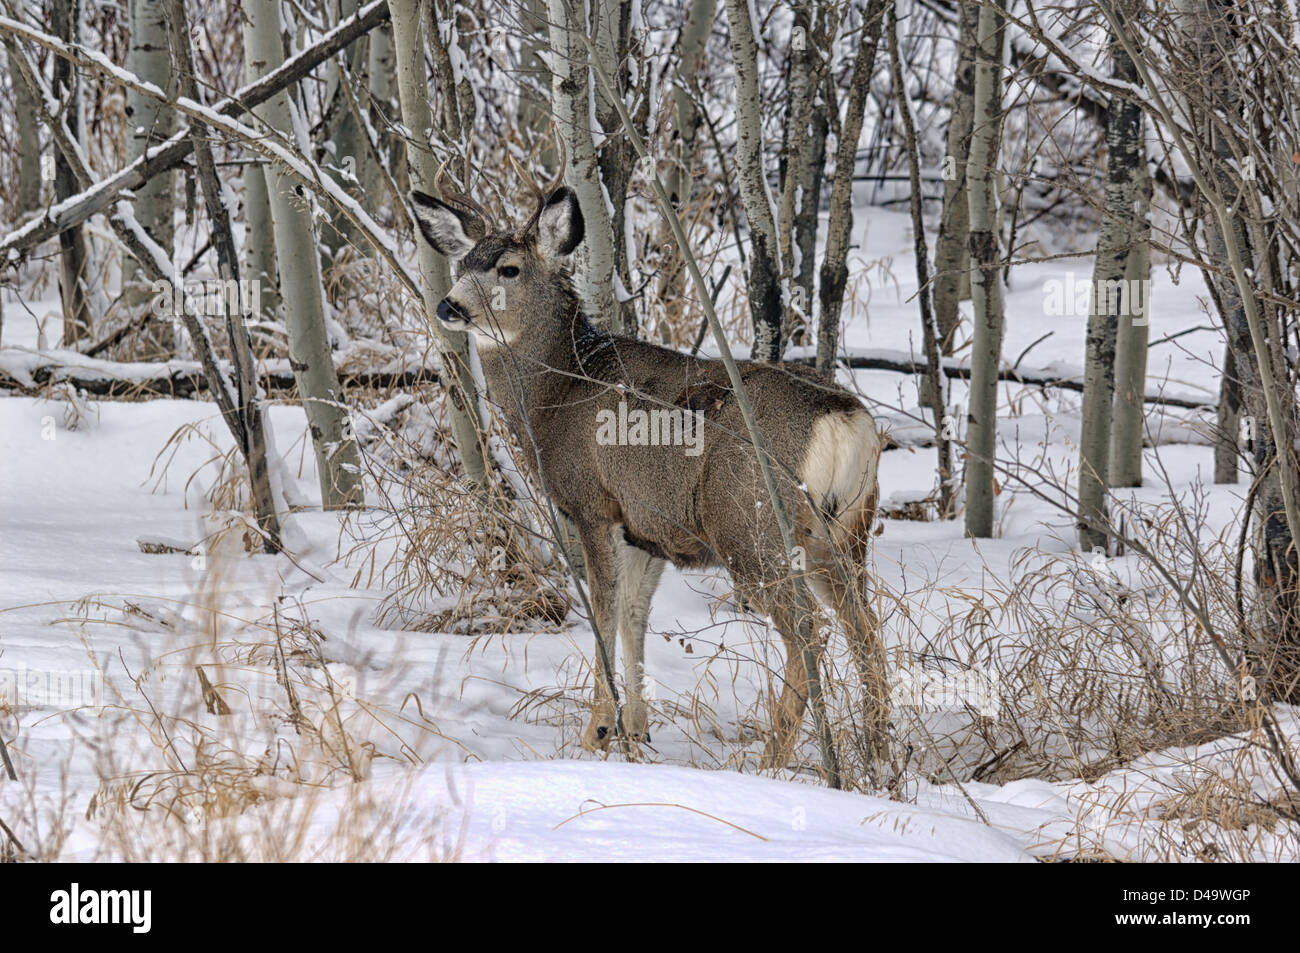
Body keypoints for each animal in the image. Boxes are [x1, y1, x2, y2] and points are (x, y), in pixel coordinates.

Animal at [407, 155, 890, 771]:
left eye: (509, 269)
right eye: (463, 264)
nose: (449, 305)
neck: (557, 393)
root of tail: (846, 417)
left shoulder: (591, 504)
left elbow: (603, 611)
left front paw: (597, 732)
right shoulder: (648, 527)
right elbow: (634, 615)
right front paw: (636, 732)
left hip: (751, 525)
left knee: (809, 629)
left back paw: (774, 757)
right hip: (845, 530)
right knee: (864, 627)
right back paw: (880, 751)